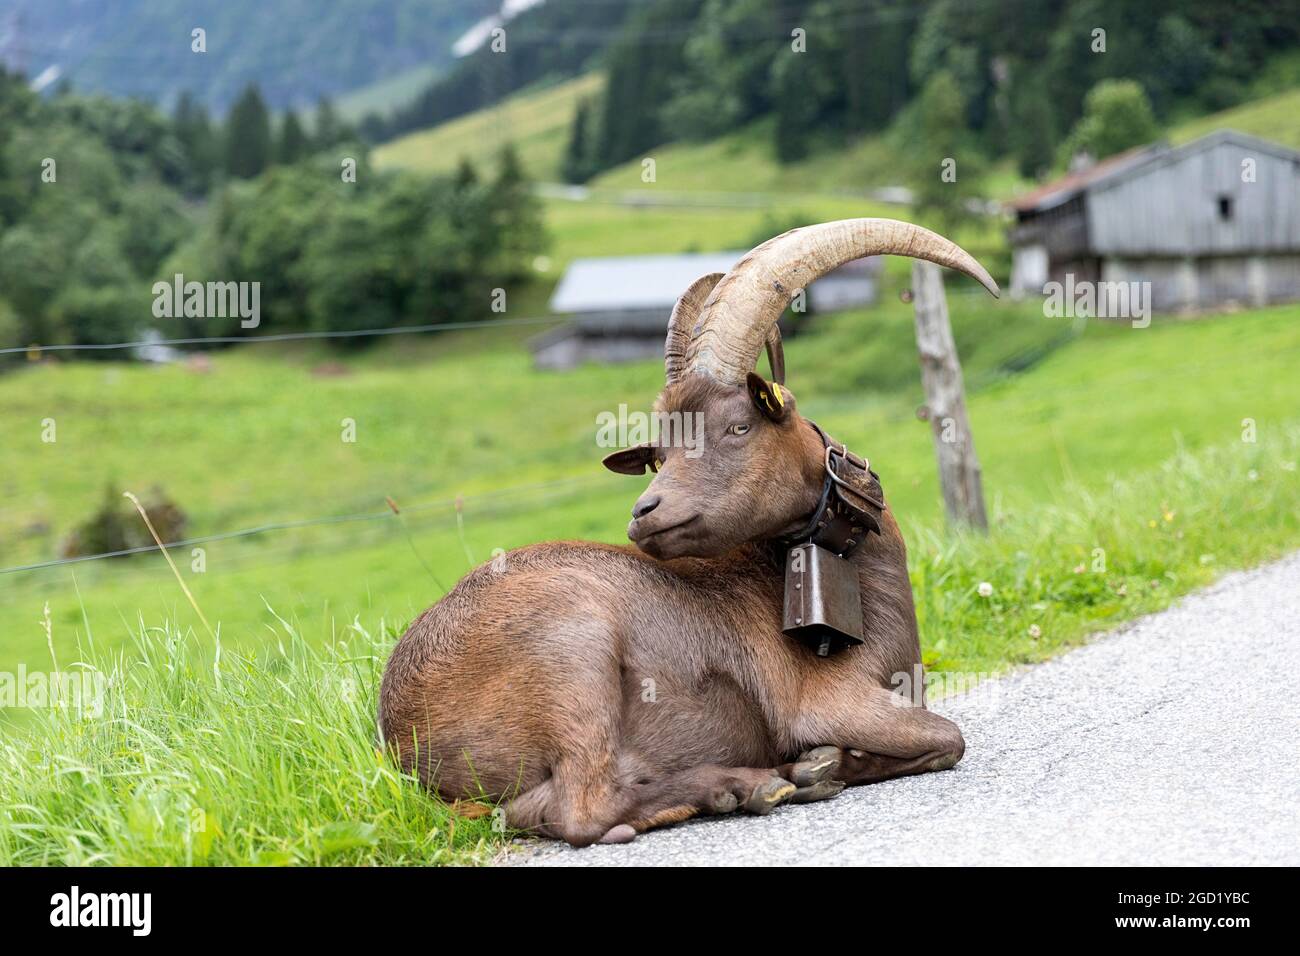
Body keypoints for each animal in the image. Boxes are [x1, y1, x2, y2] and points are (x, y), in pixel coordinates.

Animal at [380, 219, 999, 846]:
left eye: (739, 425)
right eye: (660, 454)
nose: (645, 511)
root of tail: (402, 737)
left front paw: (816, 767)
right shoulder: (826, 702)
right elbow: (948, 736)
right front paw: (818, 764)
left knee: (529, 810)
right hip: (575, 655)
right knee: (582, 808)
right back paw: (742, 786)